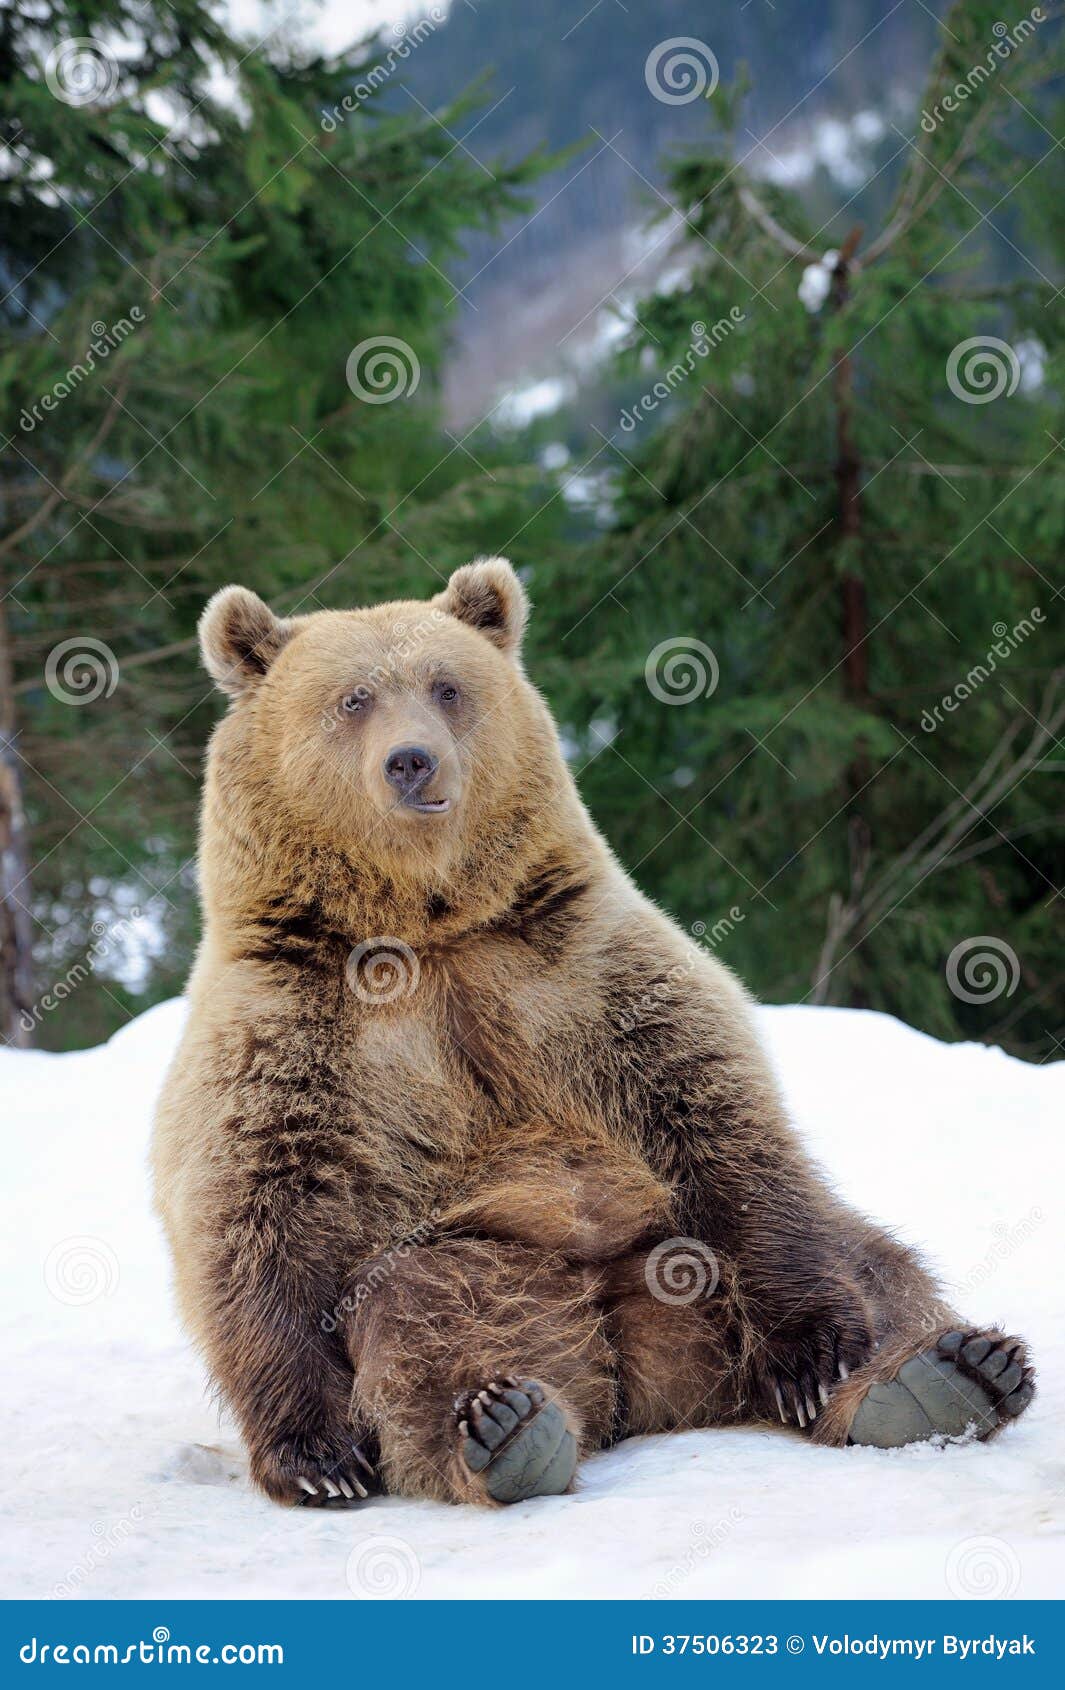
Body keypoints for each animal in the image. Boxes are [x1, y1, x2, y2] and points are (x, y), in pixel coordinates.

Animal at [151, 557, 1035, 1508]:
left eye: (447, 685)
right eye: (353, 697)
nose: (411, 760)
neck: (424, 927)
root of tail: (634, 1361)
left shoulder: (583, 971)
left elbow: (723, 1123)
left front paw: (815, 1354)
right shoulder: (294, 1027)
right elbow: (258, 1209)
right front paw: (317, 1457)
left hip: (677, 1251)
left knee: (872, 1260)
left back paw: (943, 1374)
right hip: (491, 1265)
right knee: (425, 1310)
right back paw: (506, 1428)